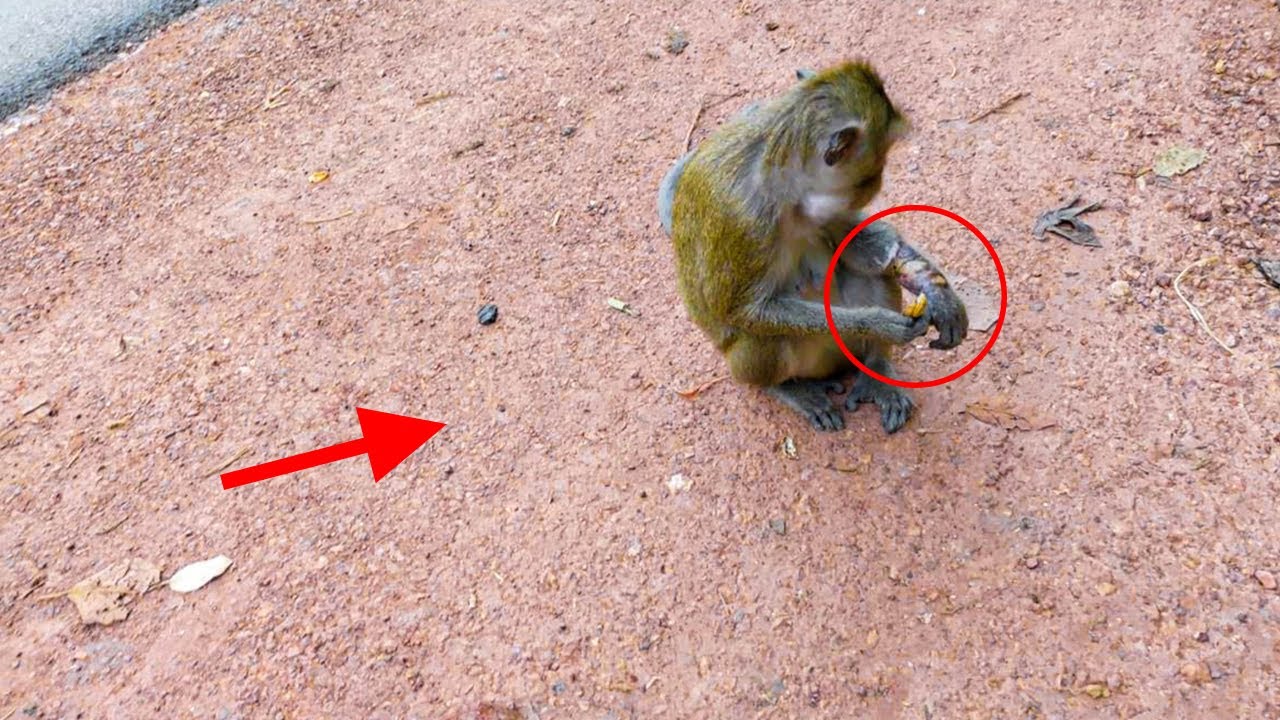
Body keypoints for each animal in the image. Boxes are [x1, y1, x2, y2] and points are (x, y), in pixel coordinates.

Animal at [657, 61, 967, 434]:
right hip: (773, 362)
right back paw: (787, 388)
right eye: (873, 169)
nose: (877, 183)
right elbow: (744, 310)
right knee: (762, 337)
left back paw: (876, 369)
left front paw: (936, 290)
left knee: (870, 273)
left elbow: (864, 245)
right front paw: (877, 322)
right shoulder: (743, 219)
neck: (780, 177)